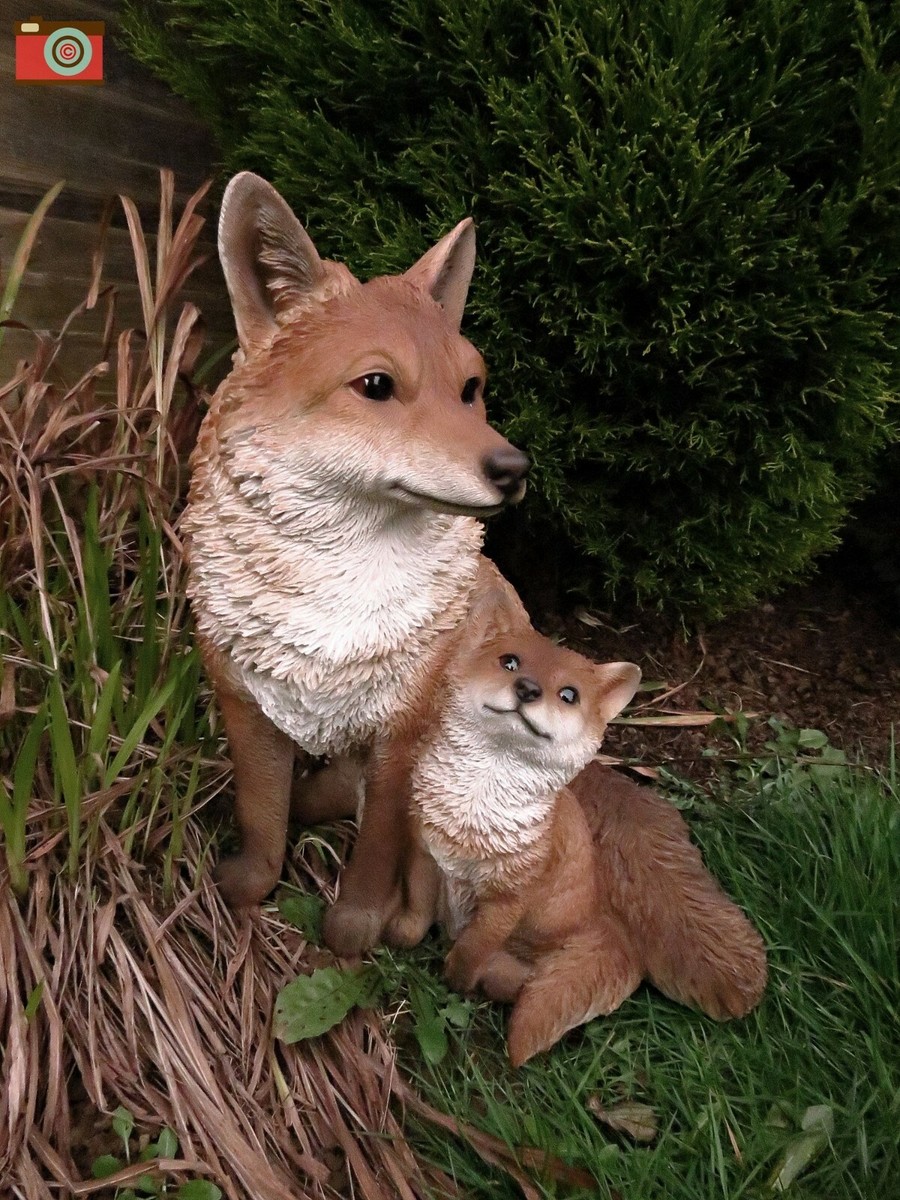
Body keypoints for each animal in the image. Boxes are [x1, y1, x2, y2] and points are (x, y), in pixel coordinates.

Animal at [185, 172, 530, 951]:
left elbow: (372, 864)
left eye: (471, 390)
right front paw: (243, 893)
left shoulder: (403, 739)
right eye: (376, 386)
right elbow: (261, 823)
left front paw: (350, 940)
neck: (336, 610)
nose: (514, 470)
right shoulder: (245, 706)